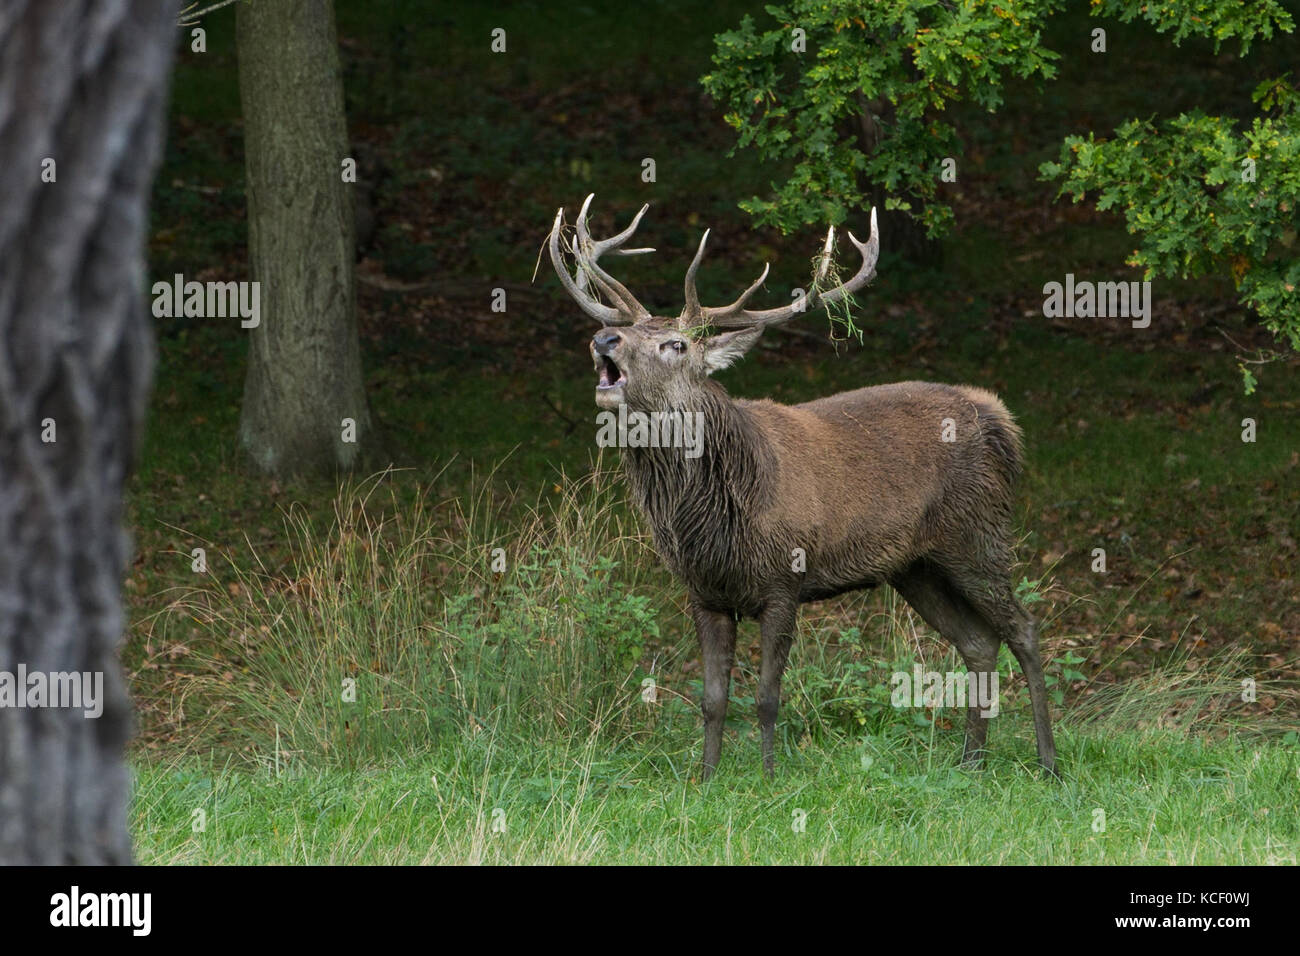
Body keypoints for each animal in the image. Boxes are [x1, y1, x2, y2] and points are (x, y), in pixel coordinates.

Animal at [547, 194, 1057, 780]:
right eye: (625, 331)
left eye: (676, 344)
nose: (604, 339)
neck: (717, 513)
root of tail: (1001, 421)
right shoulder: (703, 591)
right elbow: (712, 699)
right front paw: (706, 778)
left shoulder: (784, 579)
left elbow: (768, 697)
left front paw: (769, 776)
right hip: (917, 566)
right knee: (978, 642)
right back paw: (971, 760)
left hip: (979, 534)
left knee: (1024, 629)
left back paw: (1048, 761)